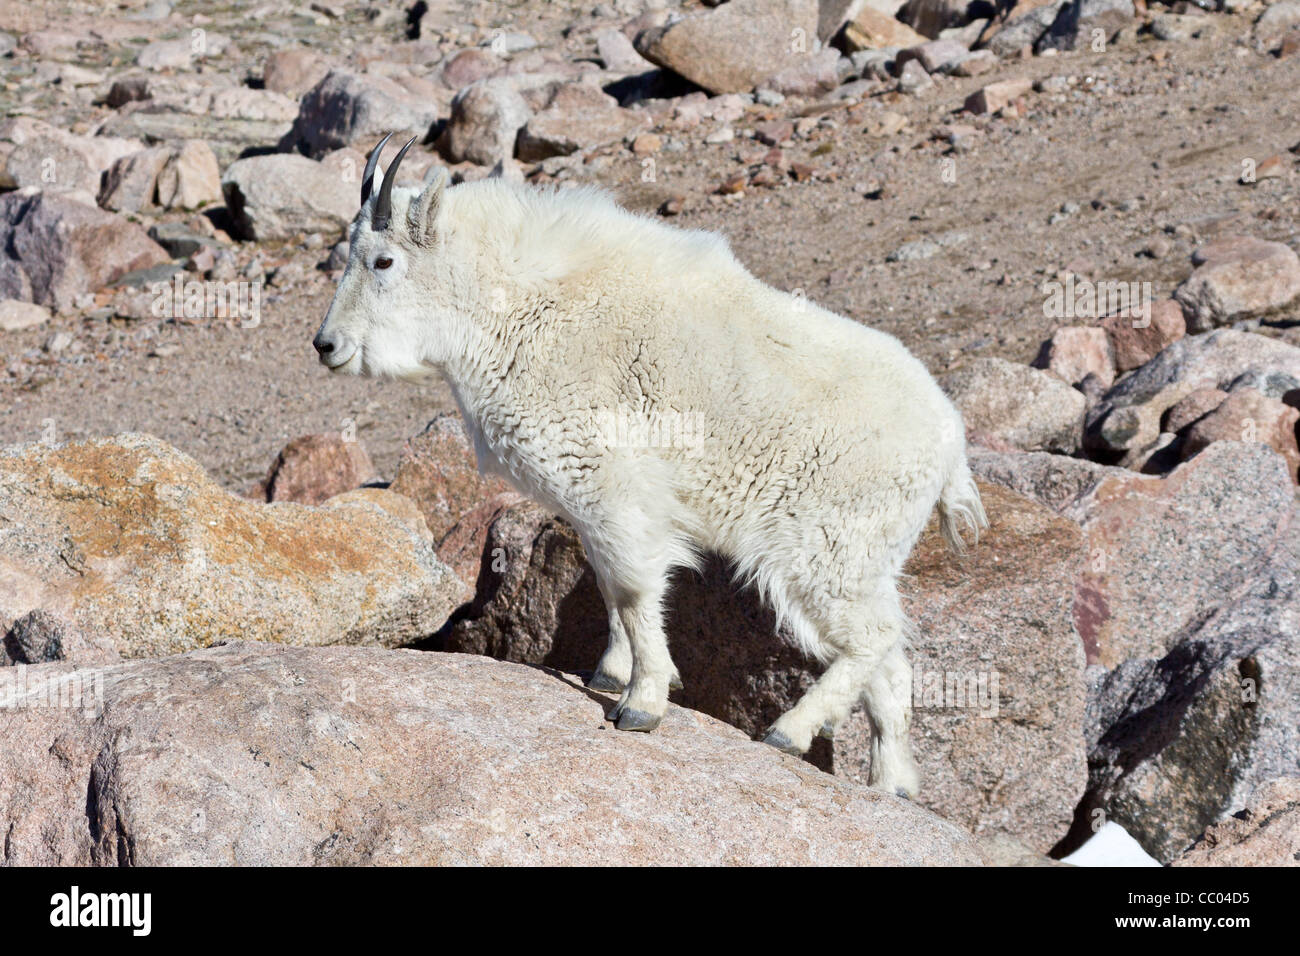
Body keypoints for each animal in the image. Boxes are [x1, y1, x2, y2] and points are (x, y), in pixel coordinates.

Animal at [313, 135, 986, 796]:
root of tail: (951, 449)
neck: (514, 308)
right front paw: (611, 674)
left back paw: (789, 732)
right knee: (891, 661)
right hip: (868, 558)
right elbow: (610, 585)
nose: (327, 345)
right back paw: (892, 784)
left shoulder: (615, 485)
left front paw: (642, 703)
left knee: (873, 639)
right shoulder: (594, 500)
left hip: (830, 545)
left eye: (382, 261)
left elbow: (635, 589)